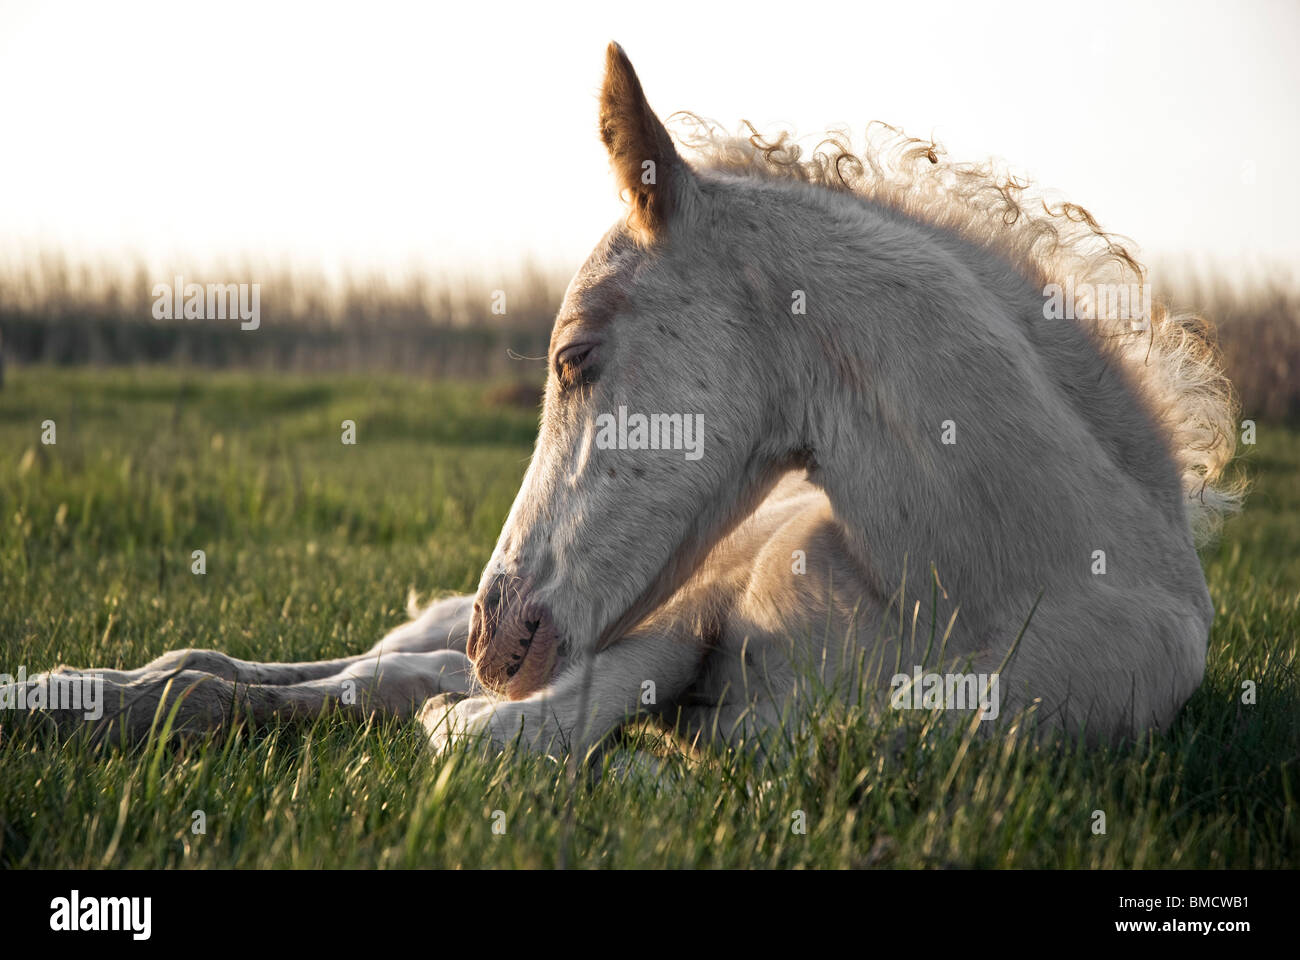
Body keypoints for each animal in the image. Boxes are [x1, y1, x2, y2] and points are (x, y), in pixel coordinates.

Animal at [6, 42, 1240, 759]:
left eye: (572, 356)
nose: (505, 633)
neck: (967, 592)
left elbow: (524, 738)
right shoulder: (685, 614)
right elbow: (502, 726)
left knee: (357, 678)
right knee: (327, 667)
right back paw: (84, 691)